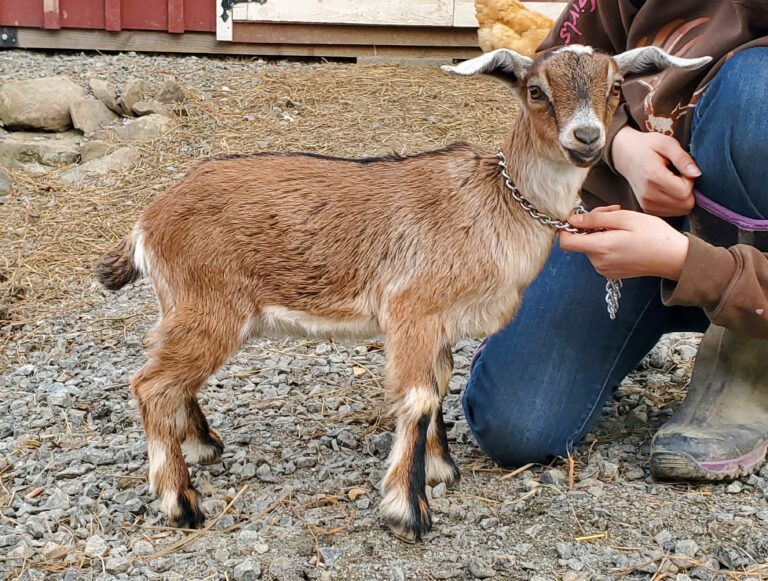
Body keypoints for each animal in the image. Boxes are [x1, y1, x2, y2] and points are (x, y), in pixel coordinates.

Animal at [95, 46, 710, 542]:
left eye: (615, 87)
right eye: (535, 90)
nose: (585, 138)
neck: (498, 204)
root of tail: (148, 221)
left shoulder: (440, 324)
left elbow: (436, 391)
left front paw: (440, 472)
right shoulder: (413, 309)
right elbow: (415, 400)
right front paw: (408, 512)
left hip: (191, 307)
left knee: (171, 378)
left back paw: (203, 445)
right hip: (209, 306)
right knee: (151, 384)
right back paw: (181, 501)